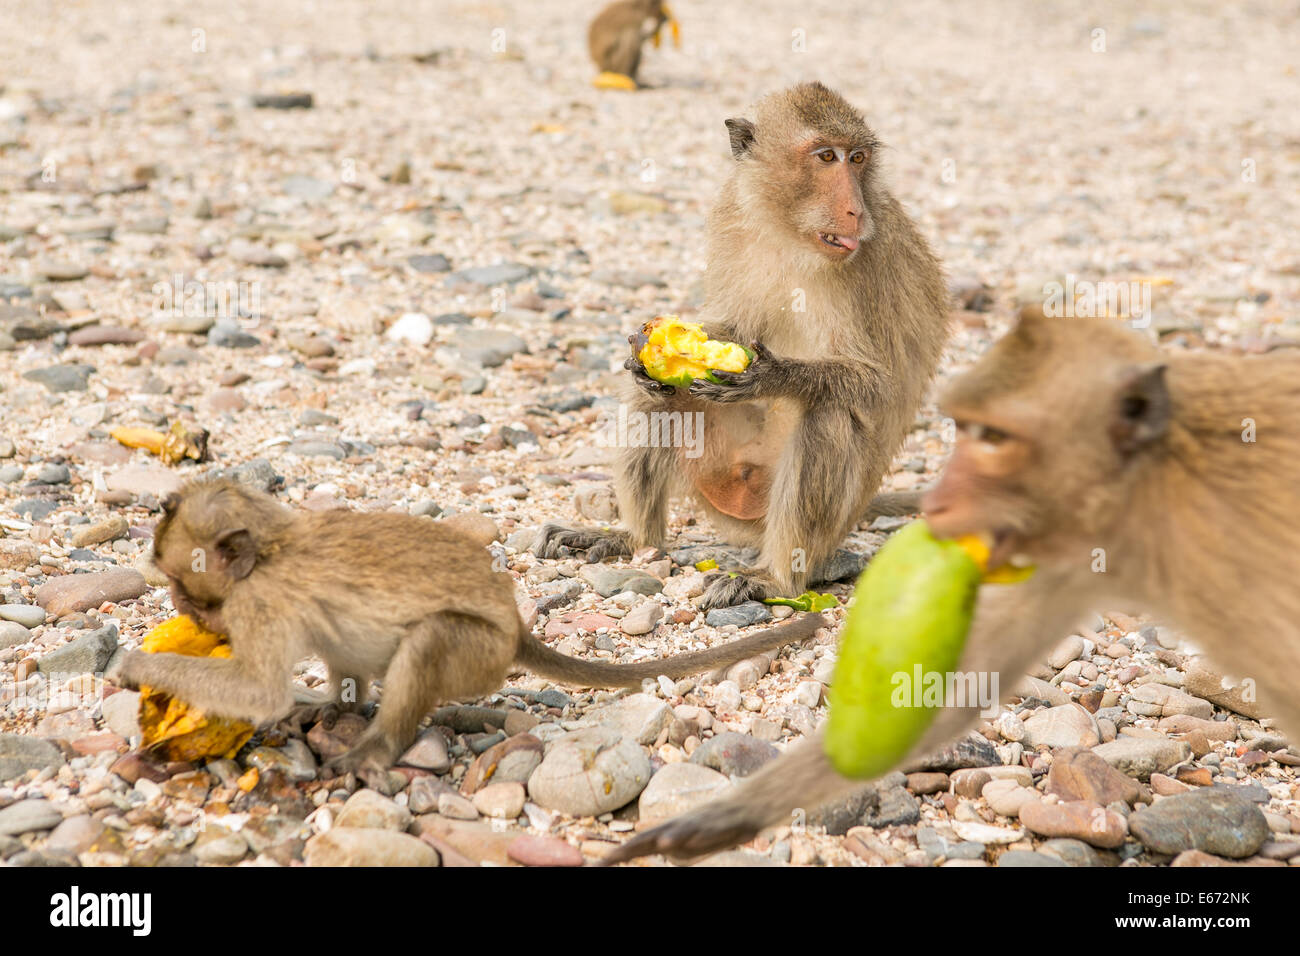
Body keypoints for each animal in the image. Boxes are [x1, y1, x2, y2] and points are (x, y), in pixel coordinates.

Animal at [107, 477, 826, 776]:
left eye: (182, 587)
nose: (187, 613)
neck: (273, 546)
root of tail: (515, 627)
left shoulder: (259, 602)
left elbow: (258, 691)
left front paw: (137, 667)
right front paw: (309, 710)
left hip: (480, 654)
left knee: (431, 639)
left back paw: (377, 746)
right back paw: (340, 715)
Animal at [537, 82, 950, 611]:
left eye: (857, 158)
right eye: (827, 157)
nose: (856, 209)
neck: (790, 233)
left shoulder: (868, 261)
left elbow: (877, 383)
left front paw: (772, 376)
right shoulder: (732, 218)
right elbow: (729, 326)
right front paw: (649, 348)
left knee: (829, 415)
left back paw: (776, 577)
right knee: (657, 402)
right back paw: (636, 538)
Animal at [602, 312, 1300, 863]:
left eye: (994, 438)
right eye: (965, 429)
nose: (940, 501)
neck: (1149, 486)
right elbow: (951, 698)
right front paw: (705, 825)